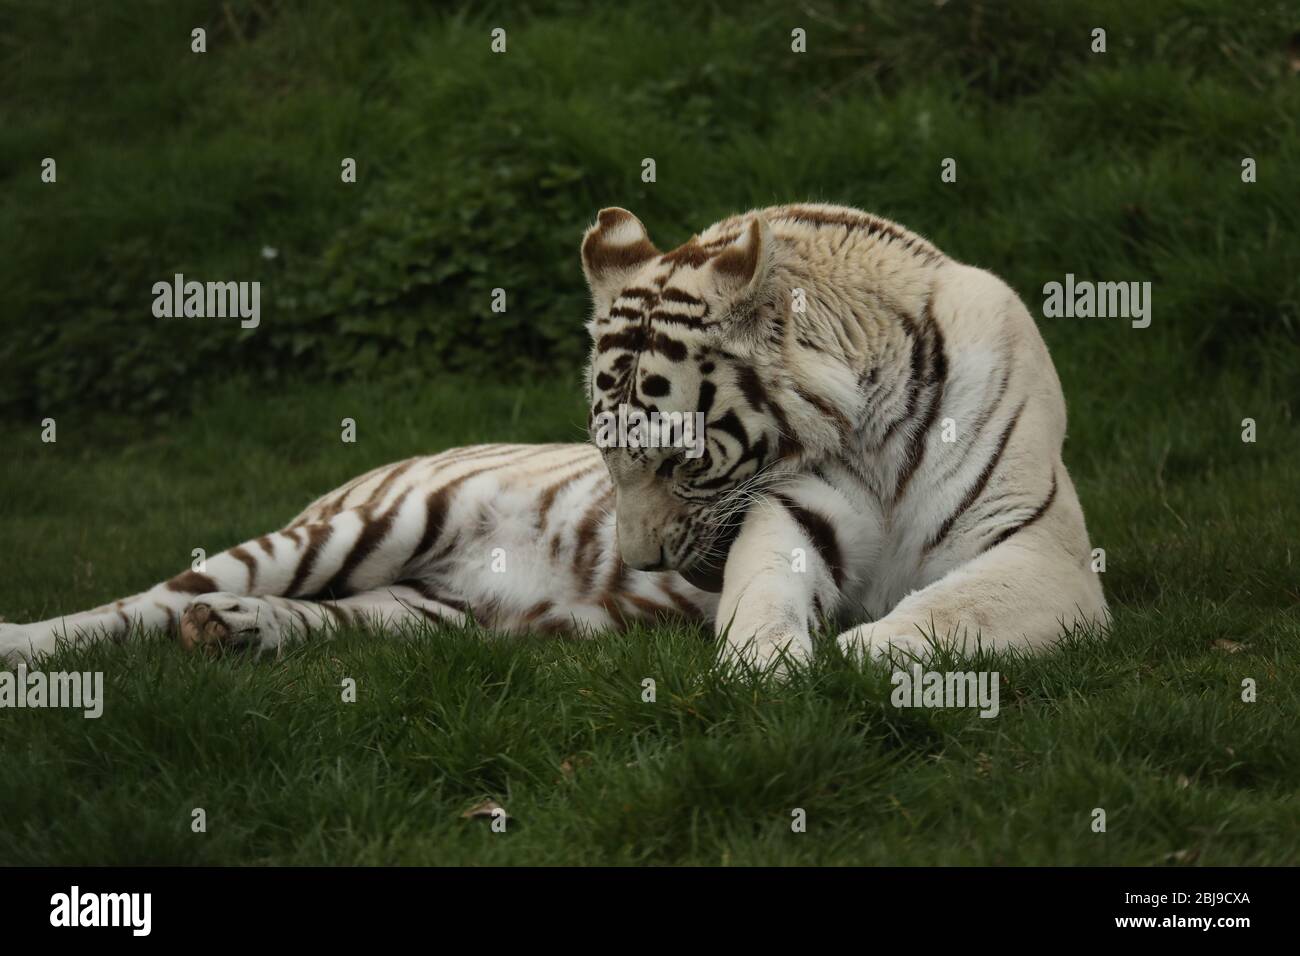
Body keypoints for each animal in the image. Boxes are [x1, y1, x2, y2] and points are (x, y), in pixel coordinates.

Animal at [0, 203, 1108, 669]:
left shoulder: (1041, 551)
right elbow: (763, 592)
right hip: (357, 529)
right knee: (139, 601)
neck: (865, 417)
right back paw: (33, 644)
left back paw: (234, 629)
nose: (640, 560)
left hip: (419, 613)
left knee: (319, 620)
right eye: (608, 454)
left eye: (683, 458)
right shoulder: (796, 513)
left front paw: (848, 655)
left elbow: (939, 614)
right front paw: (767, 664)